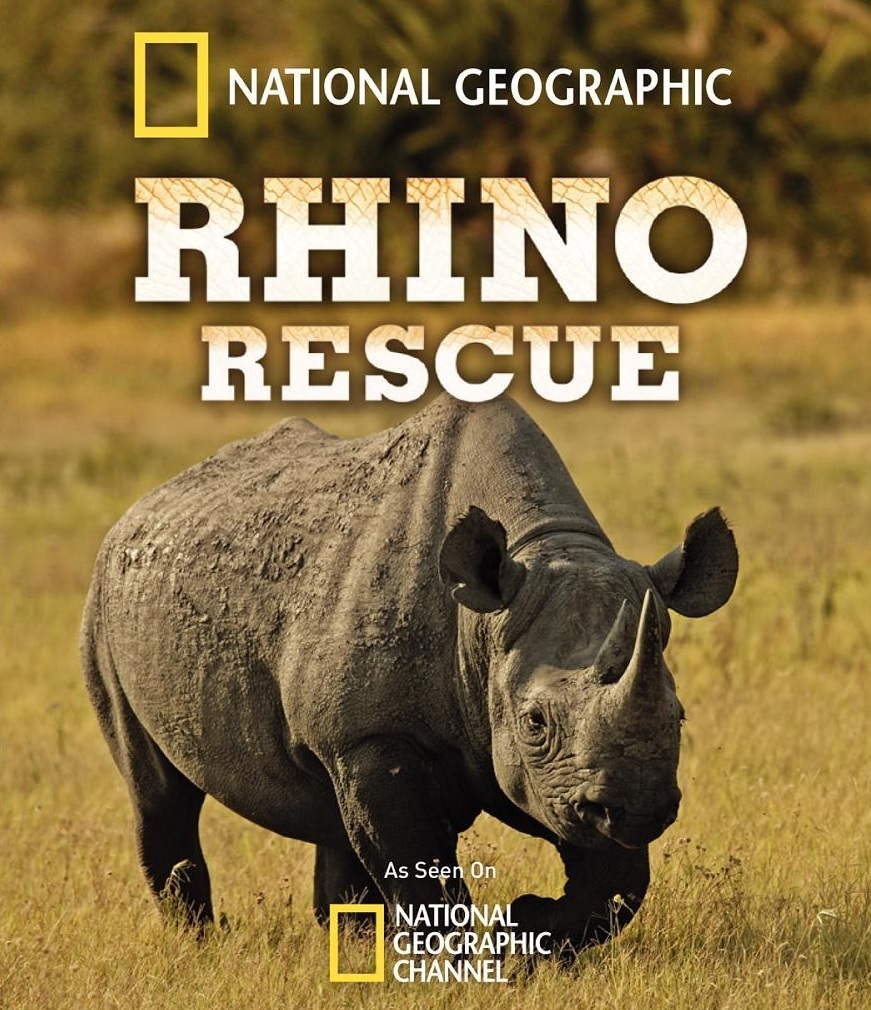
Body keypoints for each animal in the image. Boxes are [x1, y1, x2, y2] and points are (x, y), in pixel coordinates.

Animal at [81, 394, 737, 961]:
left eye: (679, 716)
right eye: (534, 721)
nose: (638, 809)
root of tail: (137, 510)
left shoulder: (577, 772)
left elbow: (616, 884)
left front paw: (525, 934)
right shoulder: (372, 736)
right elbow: (416, 862)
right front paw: (451, 964)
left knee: (331, 814)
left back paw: (347, 945)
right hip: (106, 604)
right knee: (158, 791)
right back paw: (201, 943)